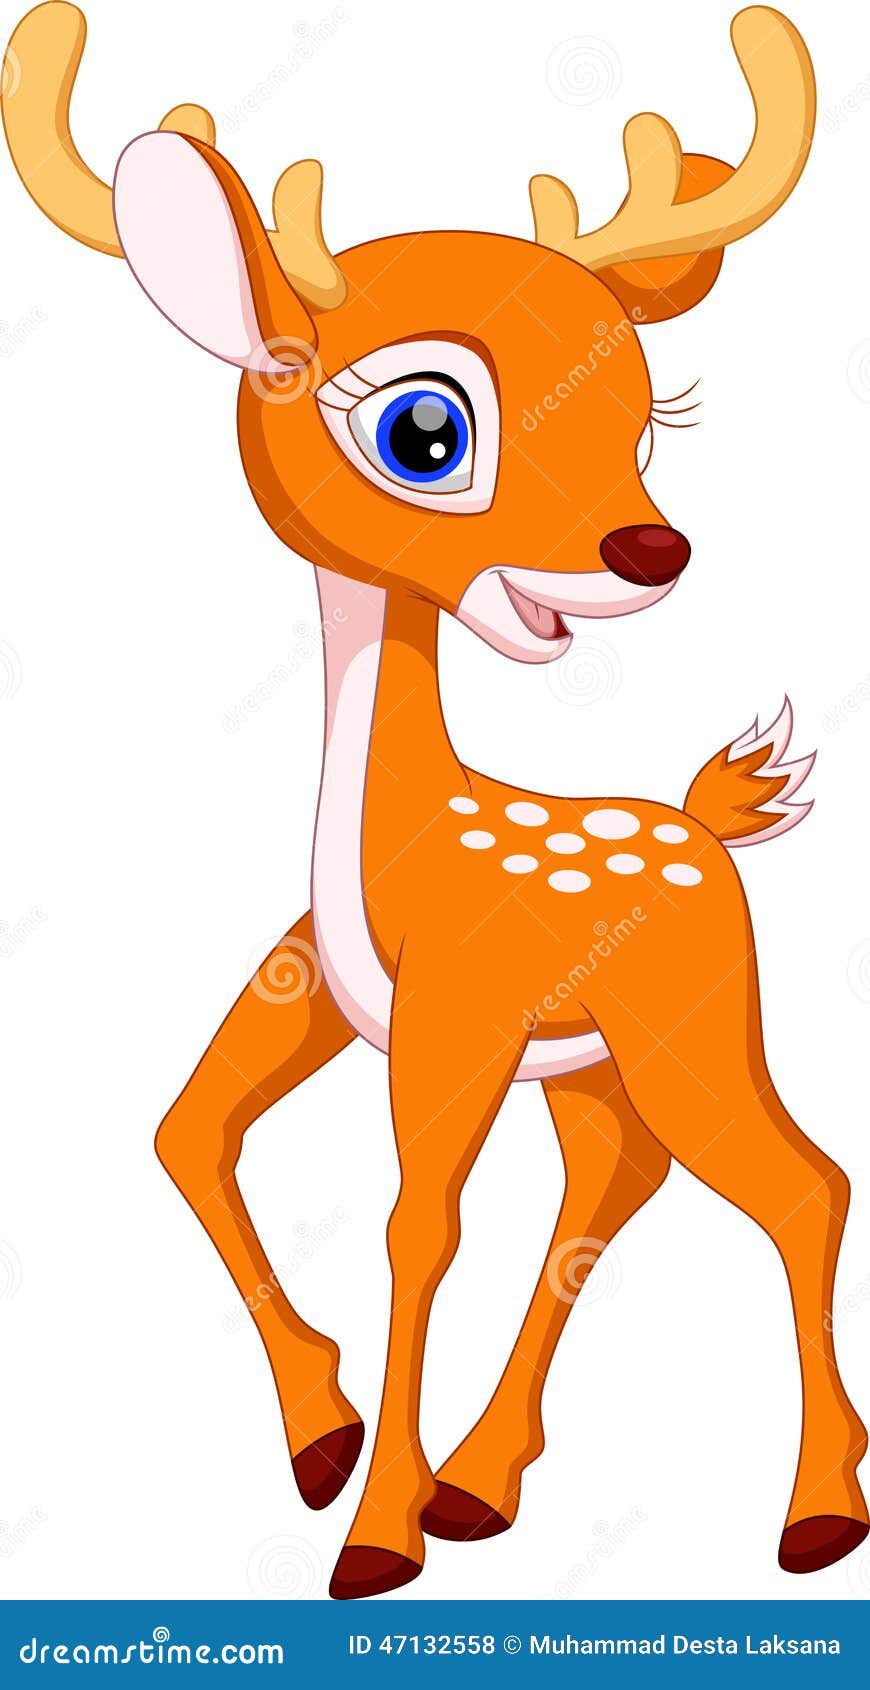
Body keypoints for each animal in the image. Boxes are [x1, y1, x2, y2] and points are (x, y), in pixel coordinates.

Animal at [4, 0, 867, 1601]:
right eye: (424, 432)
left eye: (645, 418)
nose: (652, 548)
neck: (398, 840)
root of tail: (704, 826)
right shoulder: (321, 981)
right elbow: (184, 1131)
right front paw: (327, 1443)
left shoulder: (458, 1013)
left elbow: (418, 1225)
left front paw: (371, 1534)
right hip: (600, 1065)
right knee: (616, 1185)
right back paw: (484, 1481)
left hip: (693, 1019)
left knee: (800, 1184)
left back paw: (814, 1514)